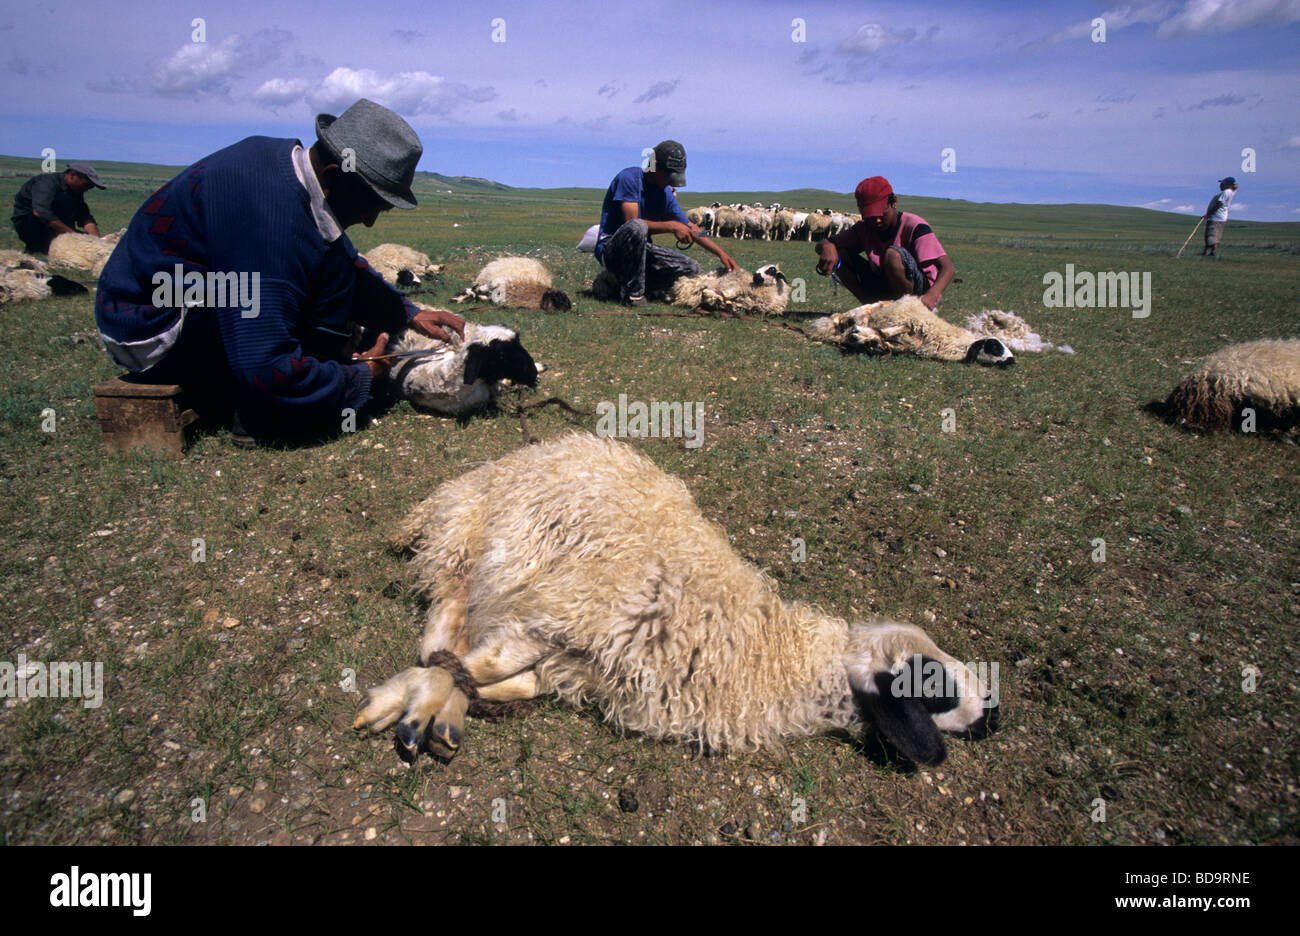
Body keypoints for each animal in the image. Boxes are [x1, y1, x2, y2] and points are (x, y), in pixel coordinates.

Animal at [354, 432, 997, 763]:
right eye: (934, 683)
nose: (993, 718)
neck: (766, 654)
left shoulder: (581, 663)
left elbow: (507, 679)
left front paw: (451, 707)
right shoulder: (563, 611)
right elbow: (472, 662)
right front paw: (409, 704)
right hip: (468, 533)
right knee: (443, 622)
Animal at [810, 296, 1019, 366]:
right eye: (995, 345)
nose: (1011, 361)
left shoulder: (906, 347)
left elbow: (888, 342)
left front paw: (873, 342)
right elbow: (886, 331)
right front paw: (865, 337)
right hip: (863, 310)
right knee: (842, 320)